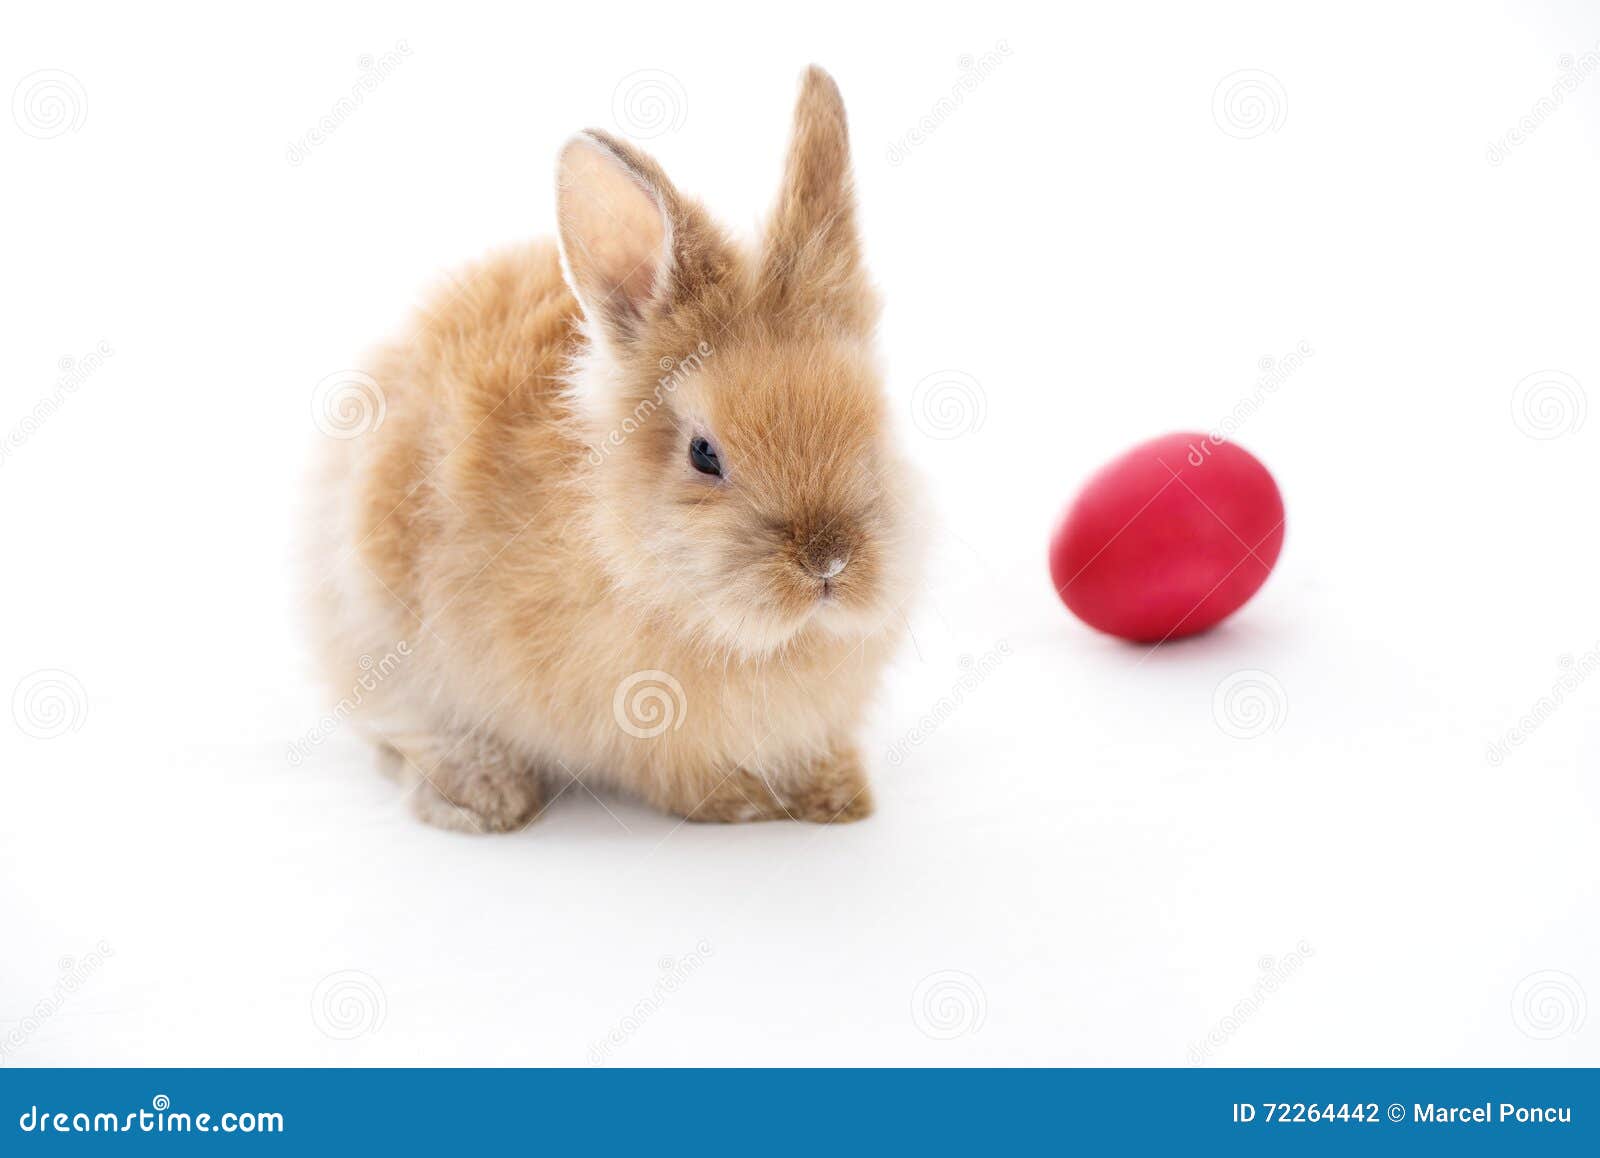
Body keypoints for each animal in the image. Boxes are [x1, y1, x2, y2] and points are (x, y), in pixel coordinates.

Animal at [304, 66, 923, 833]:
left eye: (874, 425)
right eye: (704, 454)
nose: (828, 562)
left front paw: (839, 797)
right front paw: (746, 803)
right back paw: (485, 797)